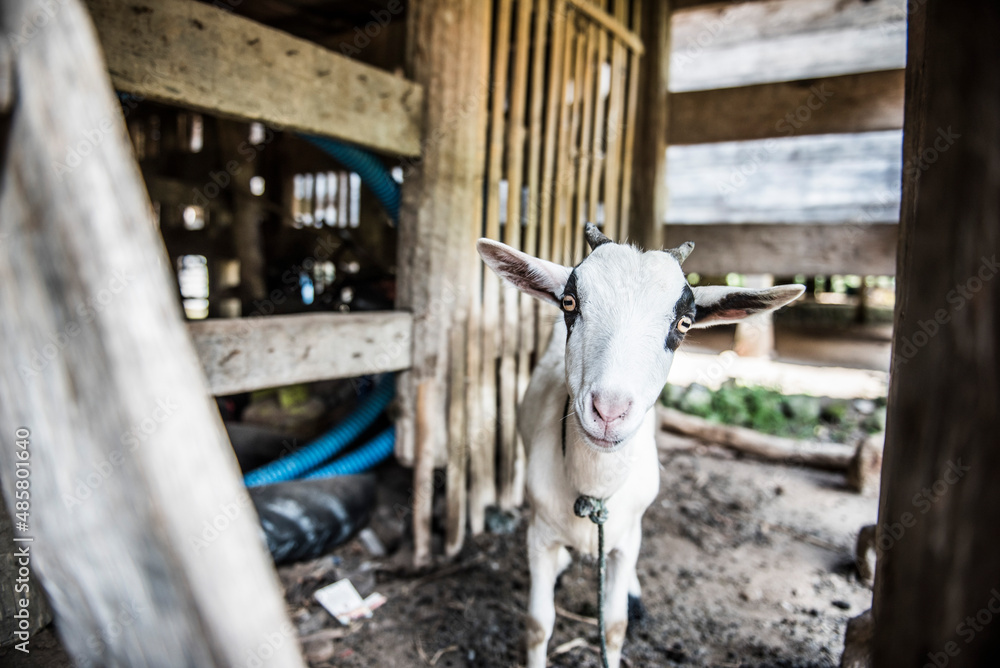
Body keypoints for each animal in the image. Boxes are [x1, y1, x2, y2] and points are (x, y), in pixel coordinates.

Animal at [477, 223, 804, 668]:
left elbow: (614, 627)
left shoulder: (626, 536)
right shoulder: (539, 535)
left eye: (684, 323)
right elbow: (538, 624)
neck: (594, 487)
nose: (609, 411)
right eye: (570, 302)